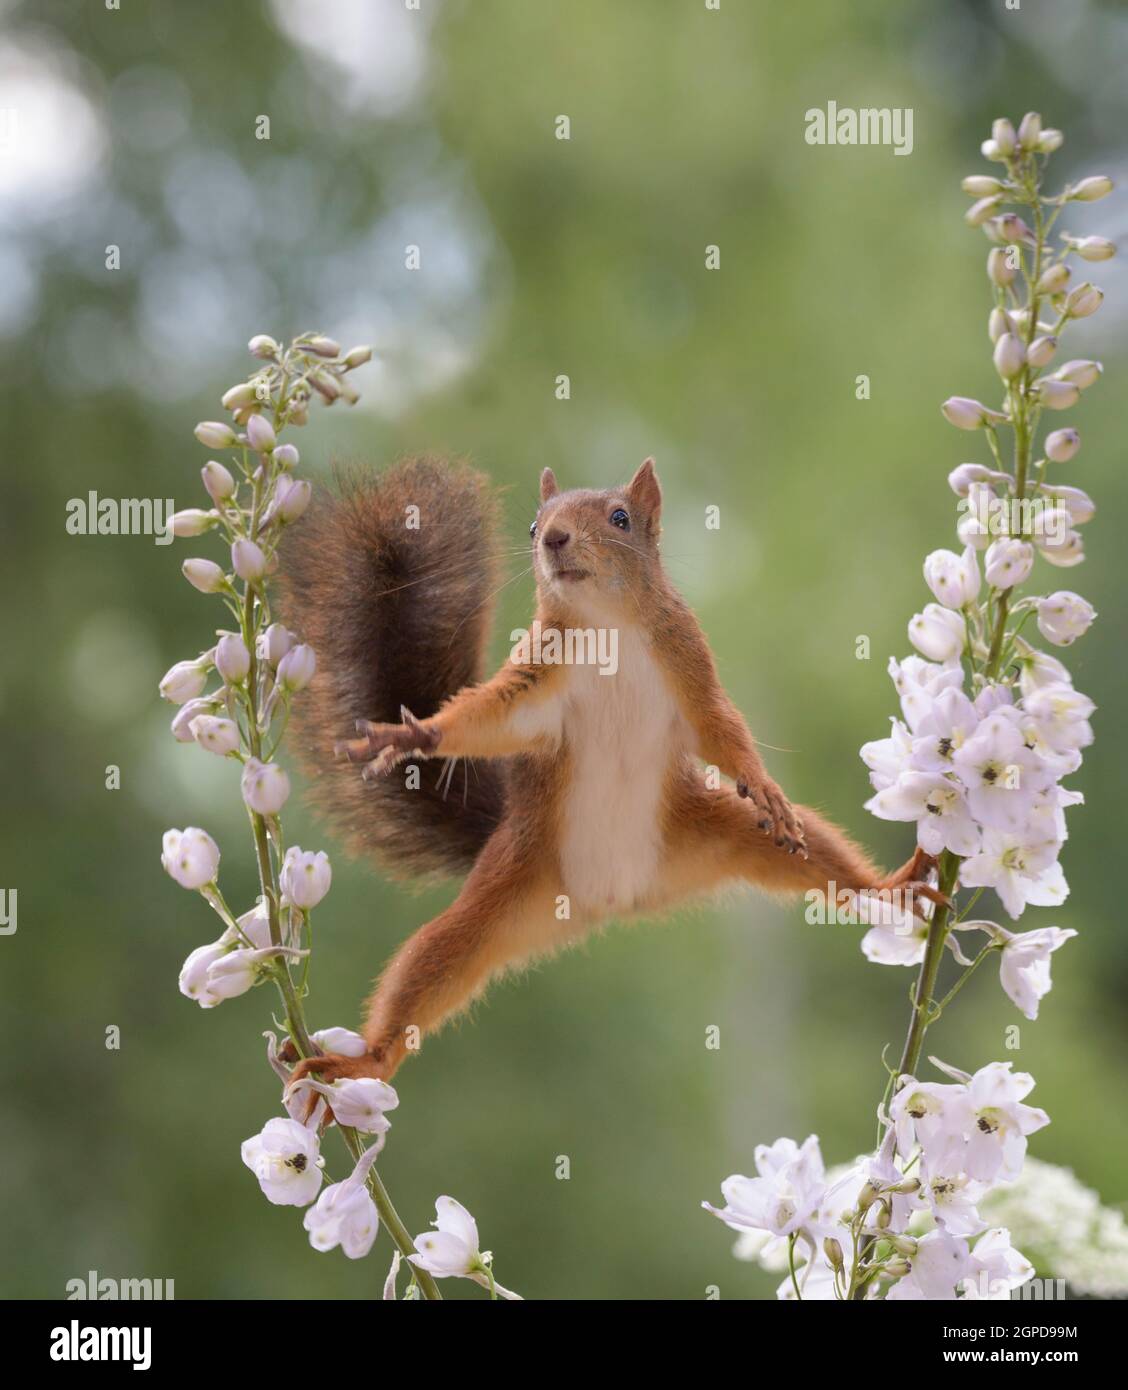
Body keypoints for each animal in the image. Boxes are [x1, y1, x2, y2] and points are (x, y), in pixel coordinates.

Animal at [280, 455, 940, 1088]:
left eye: (620, 518)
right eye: (532, 525)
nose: (553, 539)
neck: (608, 629)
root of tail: (613, 903)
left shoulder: (688, 661)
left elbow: (721, 729)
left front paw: (762, 782)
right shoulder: (536, 680)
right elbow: (490, 718)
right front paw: (415, 734)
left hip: (718, 831)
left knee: (817, 856)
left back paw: (890, 887)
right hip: (505, 886)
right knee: (434, 958)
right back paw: (366, 1062)